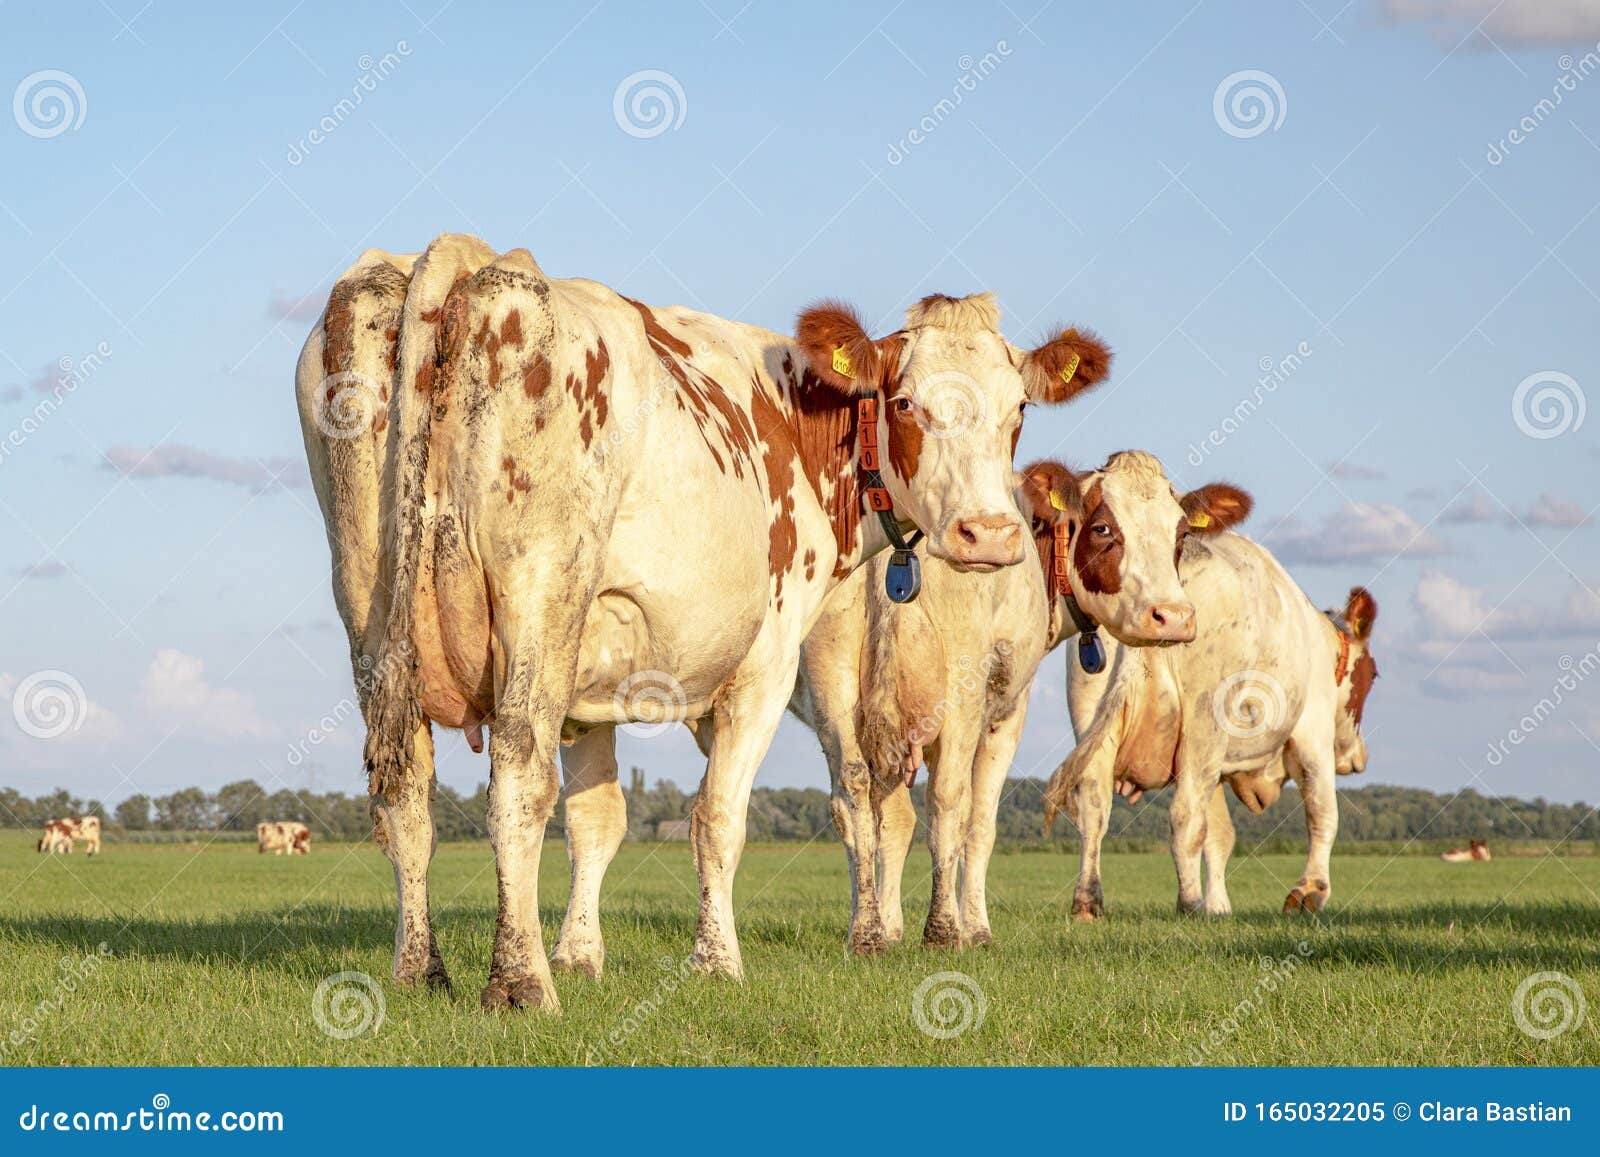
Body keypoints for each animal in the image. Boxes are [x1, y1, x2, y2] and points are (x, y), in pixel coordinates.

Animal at [297, 233, 1104, 1011]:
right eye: (905, 403)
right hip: (540, 587)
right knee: (518, 778)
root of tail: (464, 260)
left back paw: (420, 970)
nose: (989, 534)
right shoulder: (765, 661)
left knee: (405, 794)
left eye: (1018, 411)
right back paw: (521, 981)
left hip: (368, 605)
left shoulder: (592, 675)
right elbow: (718, 817)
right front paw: (716, 962)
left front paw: (581, 955)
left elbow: (598, 821)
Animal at [790, 451, 1252, 951]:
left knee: (853, 796)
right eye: (1103, 528)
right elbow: (978, 823)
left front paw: (888, 928)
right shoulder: (1005, 710)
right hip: (958, 688)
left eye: (1181, 533)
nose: (1173, 616)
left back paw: (866, 934)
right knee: (948, 802)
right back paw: (943, 930)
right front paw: (974, 928)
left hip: (832, 678)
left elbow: (893, 821)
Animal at [1045, 481, 1379, 918]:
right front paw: (1309, 892)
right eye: (1372, 674)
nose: (1358, 757)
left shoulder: (1215, 767)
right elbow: (1323, 812)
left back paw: (1088, 901)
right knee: (1184, 816)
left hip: (1090, 713)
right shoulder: (1312, 731)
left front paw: (1219, 906)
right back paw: (1188, 902)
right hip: (1204, 718)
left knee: (1094, 809)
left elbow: (1220, 834)